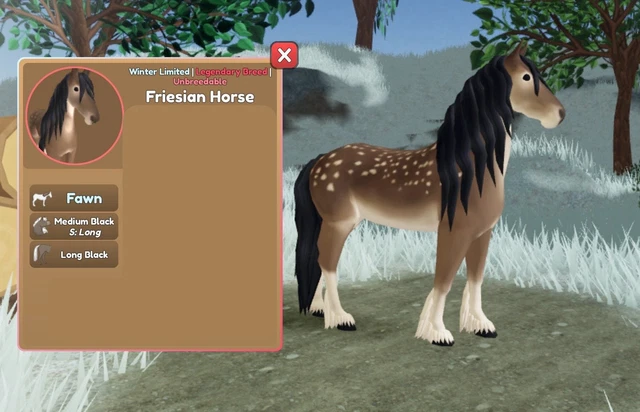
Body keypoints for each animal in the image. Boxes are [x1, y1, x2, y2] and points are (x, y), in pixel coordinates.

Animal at [293, 41, 565, 346]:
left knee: (318, 259)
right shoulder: (453, 233)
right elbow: (443, 281)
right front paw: (437, 332)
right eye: (527, 77)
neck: (472, 169)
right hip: (339, 223)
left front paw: (480, 324)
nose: (559, 114)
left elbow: (475, 278)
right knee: (328, 263)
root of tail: (321, 160)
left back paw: (318, 308)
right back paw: (340, 318)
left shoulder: (482, 234)